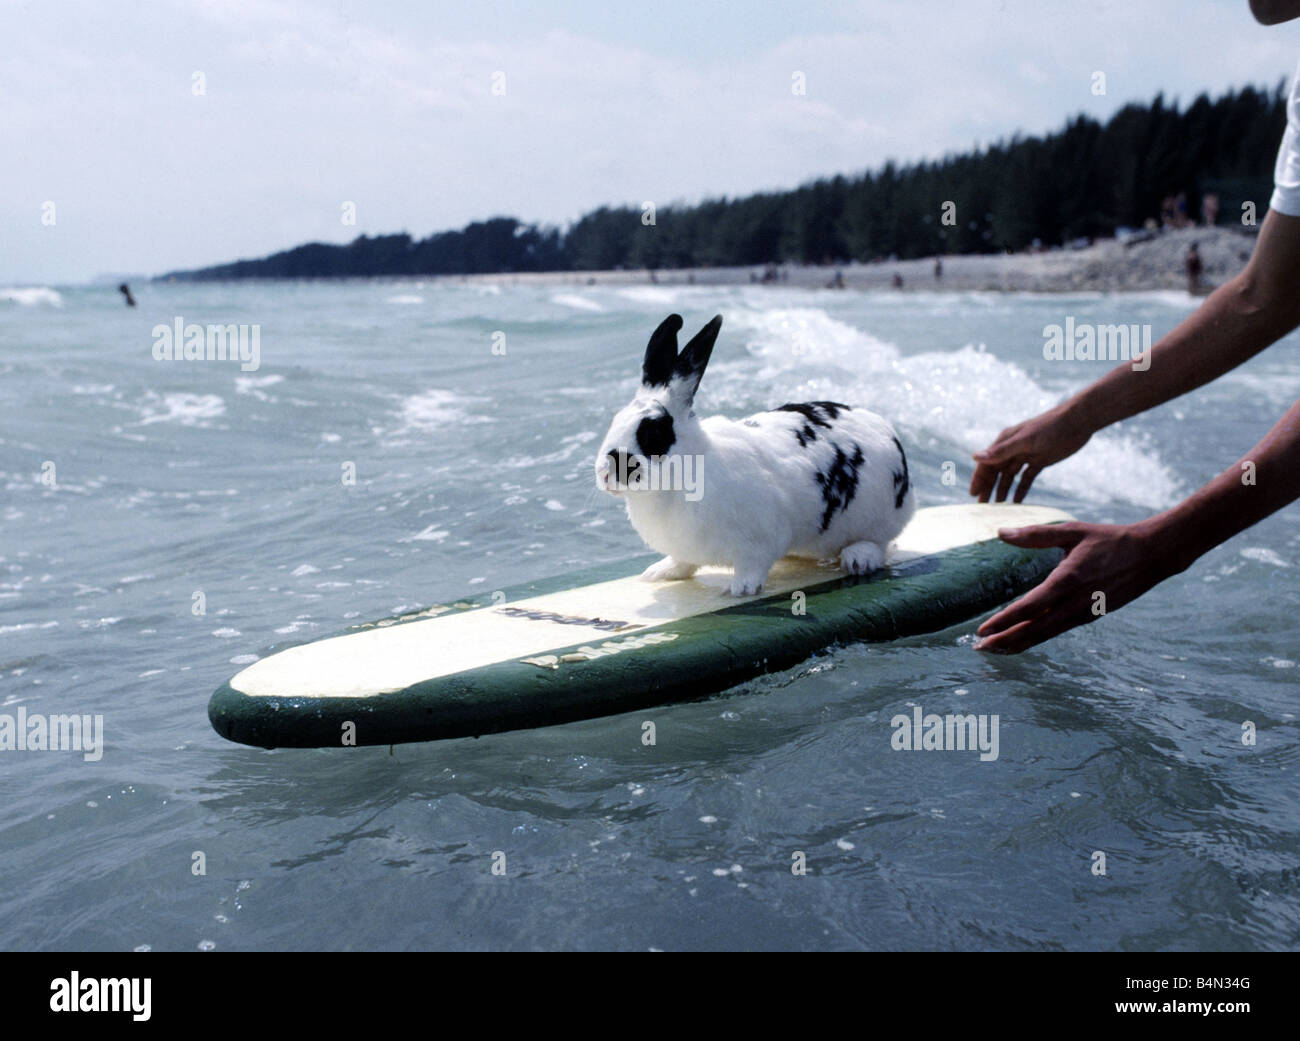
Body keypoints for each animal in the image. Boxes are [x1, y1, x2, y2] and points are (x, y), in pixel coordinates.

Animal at [594, 313, 917, 597]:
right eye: (614, 421)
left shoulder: (759, 541)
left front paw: (739, 589)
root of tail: (889, 433)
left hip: (878, 517)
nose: (607, 473)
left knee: (881, 542)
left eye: (653, 435)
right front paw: (659, 573)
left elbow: (753, 566)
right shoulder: (686, 548)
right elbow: (684, 563)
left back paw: (858, 558)